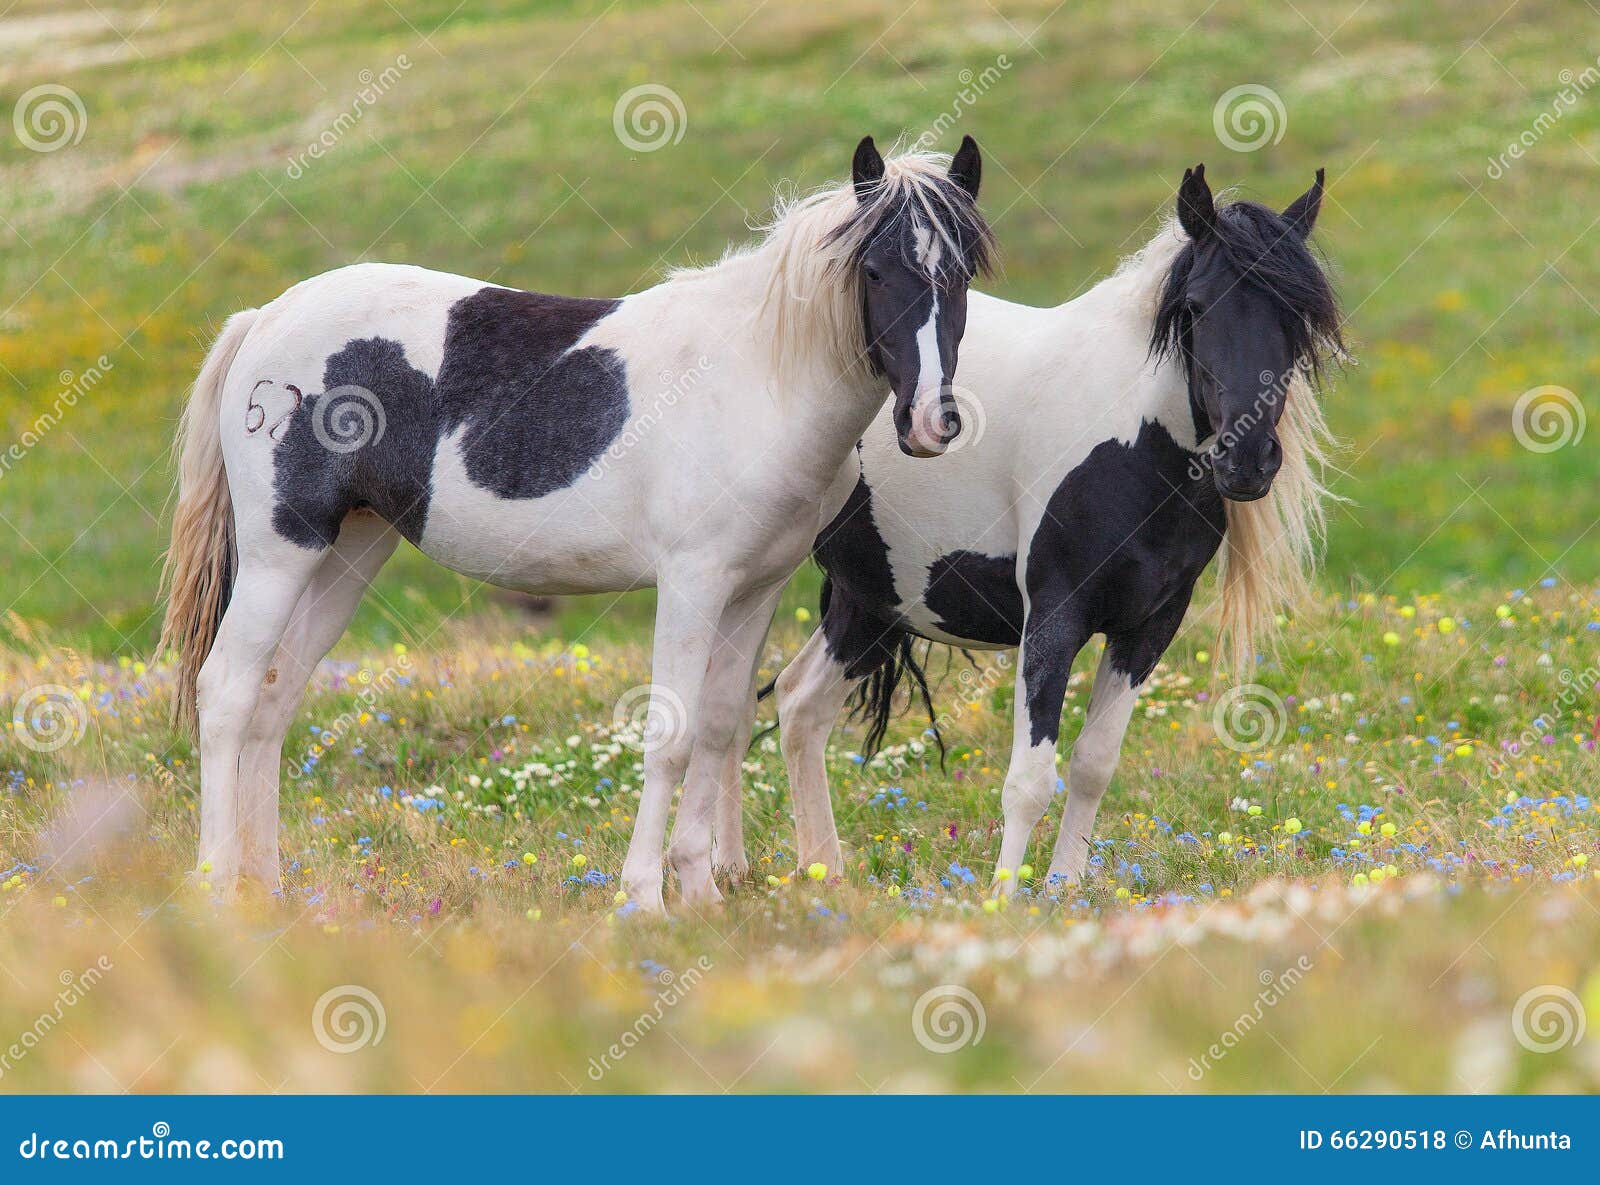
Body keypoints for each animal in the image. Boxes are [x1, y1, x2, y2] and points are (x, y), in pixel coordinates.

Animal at [158, 135, 993, 914]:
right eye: (875, 271)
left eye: (962, 275)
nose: (931, 422)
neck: (756, 376)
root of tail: (263, 319)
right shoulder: (692, 582)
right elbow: (671, 735)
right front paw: (643, 899)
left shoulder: (754, 588)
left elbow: (719, 727)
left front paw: (701, 895)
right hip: (281, 550)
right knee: (226, 691)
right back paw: (215, 887)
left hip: (350, 553)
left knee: (274, 698)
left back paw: (267, 889)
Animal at [753, 163, 1342, 894]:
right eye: (1197, 306)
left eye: (1297, 316)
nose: (1249, 458)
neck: (1135, 437)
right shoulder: (1054, 615)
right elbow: (1029, 779)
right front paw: (1005, 899)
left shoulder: (1149, 625)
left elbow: (1093, 763)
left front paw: (1064, 889)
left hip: (873, 601)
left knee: (800, 705)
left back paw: (822, 874)